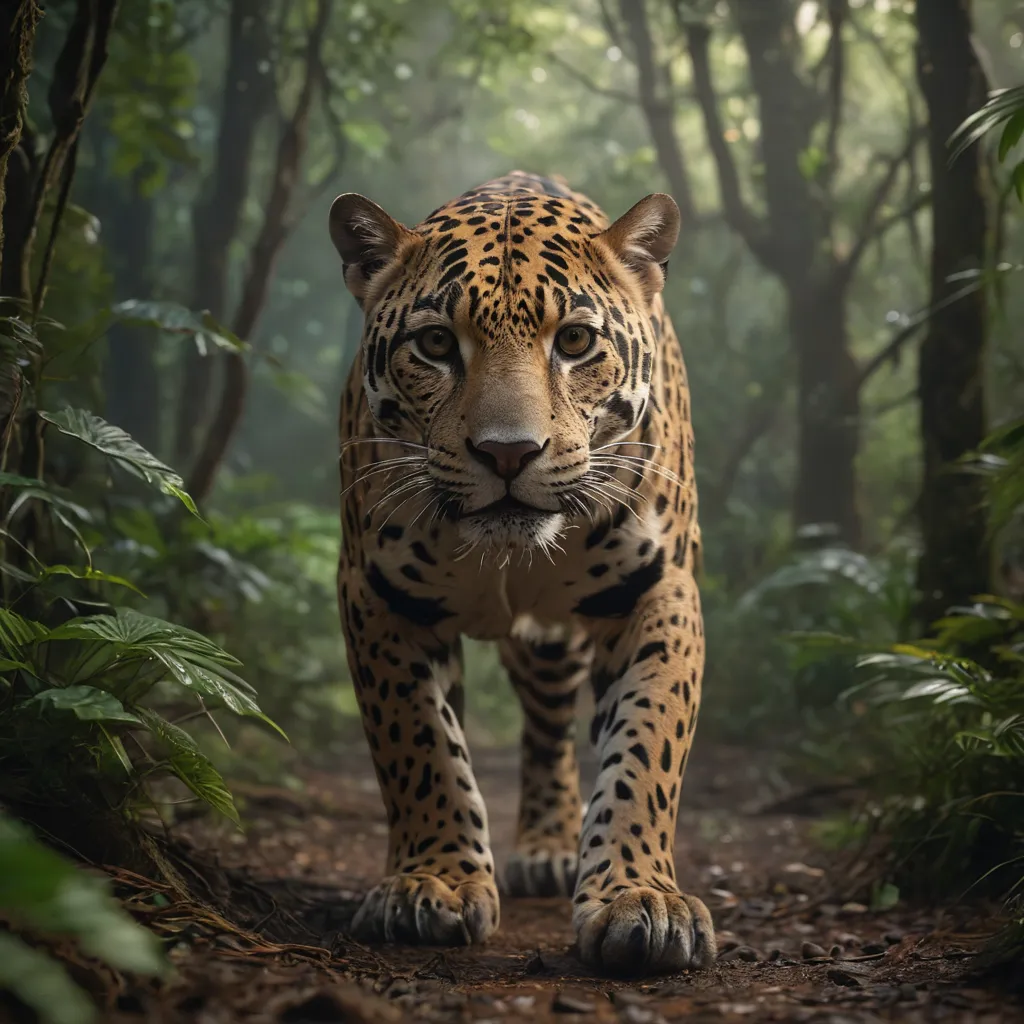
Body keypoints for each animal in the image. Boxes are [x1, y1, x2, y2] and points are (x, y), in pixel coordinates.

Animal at [329, 171, 714, 976]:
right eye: (435, 344)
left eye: (574, 341)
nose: (508, 452)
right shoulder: (375, 593)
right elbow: (418, 743)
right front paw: (433, 883)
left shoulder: (660, 587)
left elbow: (647, 746)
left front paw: (640, 898)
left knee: (546, 730)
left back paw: (549, 849)